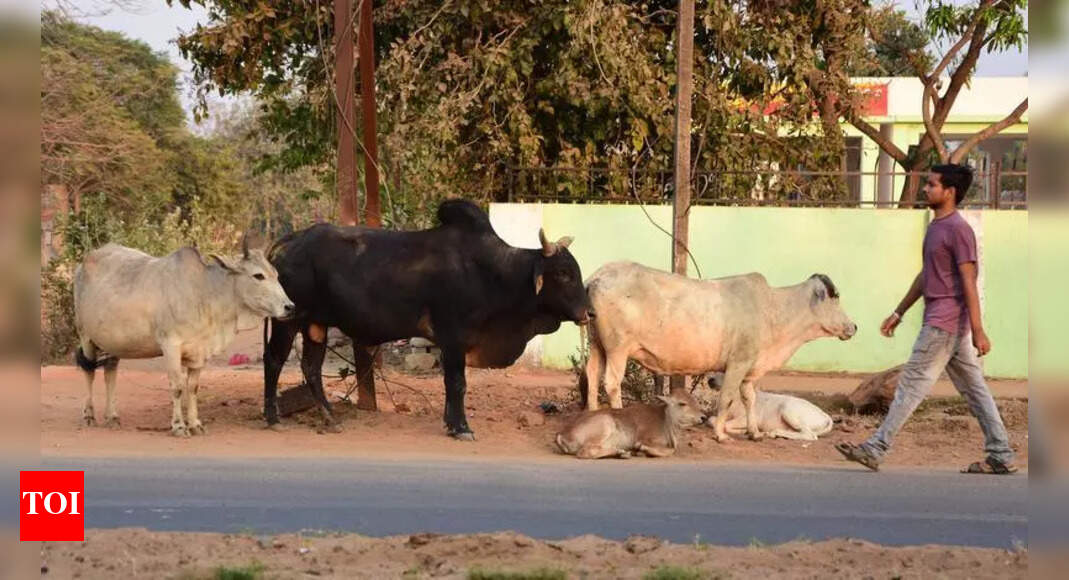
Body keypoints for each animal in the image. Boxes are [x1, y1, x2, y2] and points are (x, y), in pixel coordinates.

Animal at [73, 238, 295, 436]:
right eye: (258, 276)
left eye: (275, 274)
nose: (289, 307)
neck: (205, 292)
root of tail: (85, 262)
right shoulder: (170, 345)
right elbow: (178, 387)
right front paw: (179, 426)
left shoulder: (199, 352)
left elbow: (193, 387)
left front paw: (195, 424)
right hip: (85, 336)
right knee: (89, 371)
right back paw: (89, 415)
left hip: (112, 343)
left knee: (110, 372)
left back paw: (112, 416)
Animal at [263, 199, 594, 440]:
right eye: (563, 273)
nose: (589, 312)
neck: (495, 273)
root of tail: (289, 242)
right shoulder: (454, 338)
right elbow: (457, 383)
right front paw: (461, 428)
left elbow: (452, 385)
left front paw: (451, 423)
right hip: (287, 320)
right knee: (274, 360)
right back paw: (272, 417)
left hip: (314, 326)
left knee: (311, 369)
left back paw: (330, 417)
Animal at [555, 388, 707, 459]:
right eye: (682, 403)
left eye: (695, 400)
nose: (703, 417)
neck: (665, 420)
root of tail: (562, 434)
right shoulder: (645, 438)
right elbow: (669, 450)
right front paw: (641, 450)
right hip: (605, 424)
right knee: (585, 452)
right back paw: (621, 452)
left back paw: (621, 453)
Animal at [583, 262, 856, 442]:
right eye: (835, 297)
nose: (853, 326)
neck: (772, 309)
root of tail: (598, 275)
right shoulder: (738, 363)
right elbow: (726, 398)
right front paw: (721, 434)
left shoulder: (748, 368)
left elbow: (749, 398)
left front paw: (755, 432)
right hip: (617, 348)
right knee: (612, 382)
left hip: (597, 345)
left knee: (592, 375)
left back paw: (593, 412)